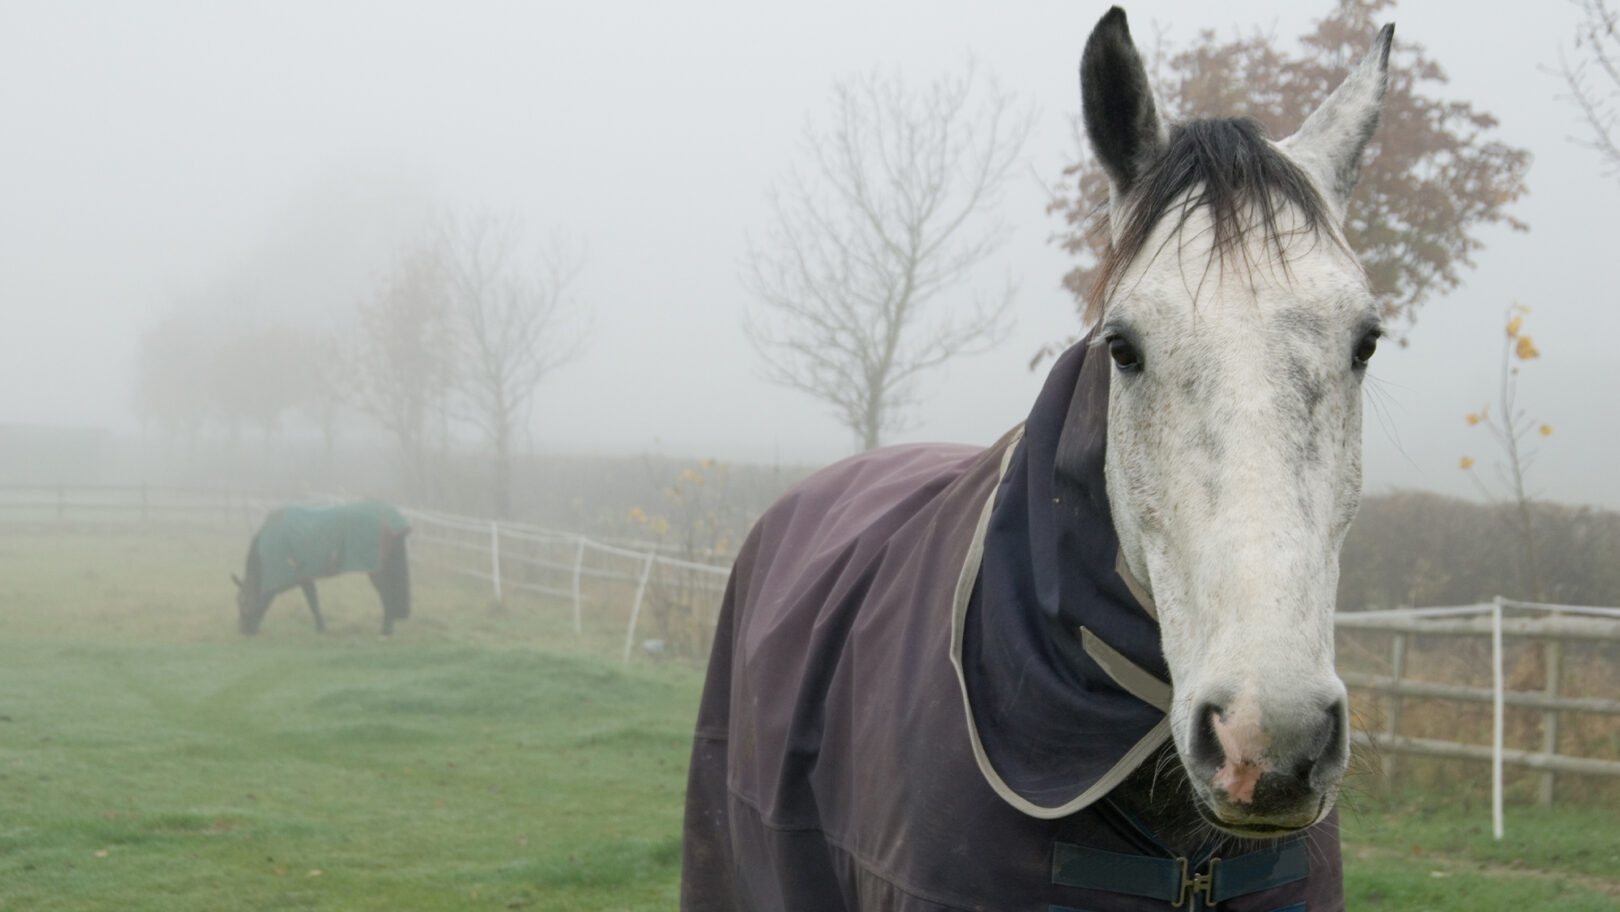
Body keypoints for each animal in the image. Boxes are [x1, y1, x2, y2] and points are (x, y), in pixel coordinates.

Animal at [233, 499, 412, 637]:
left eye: (244, 603)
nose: (243, 631)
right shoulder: (305, 577)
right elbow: (313, 601)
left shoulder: (303, 576)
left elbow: (313, 602)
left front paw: (321, 628)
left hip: (376, 570)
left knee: (386, 594)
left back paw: (385, 630)